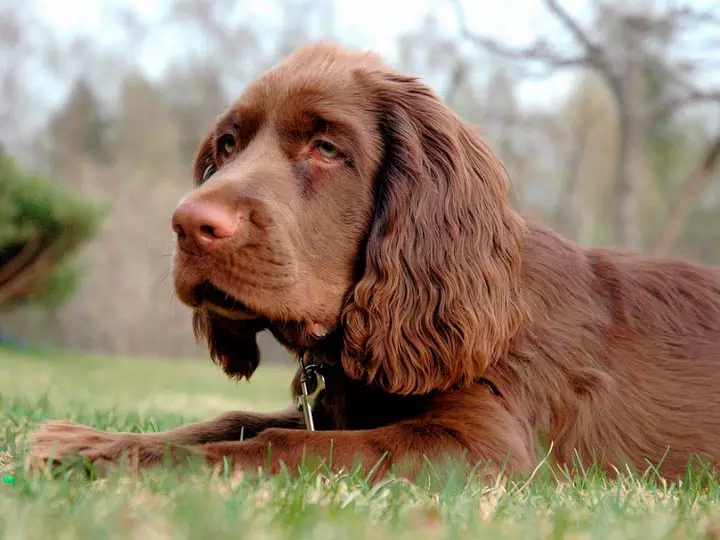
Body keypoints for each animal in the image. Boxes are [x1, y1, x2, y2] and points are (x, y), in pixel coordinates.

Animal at [28, 42, 720, 480]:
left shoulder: (484, 446)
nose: (189, 226)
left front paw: (107, 462)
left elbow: (276, 445)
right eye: (227, 144)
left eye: (328, 148)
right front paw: (83, 441)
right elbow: (235, 420)